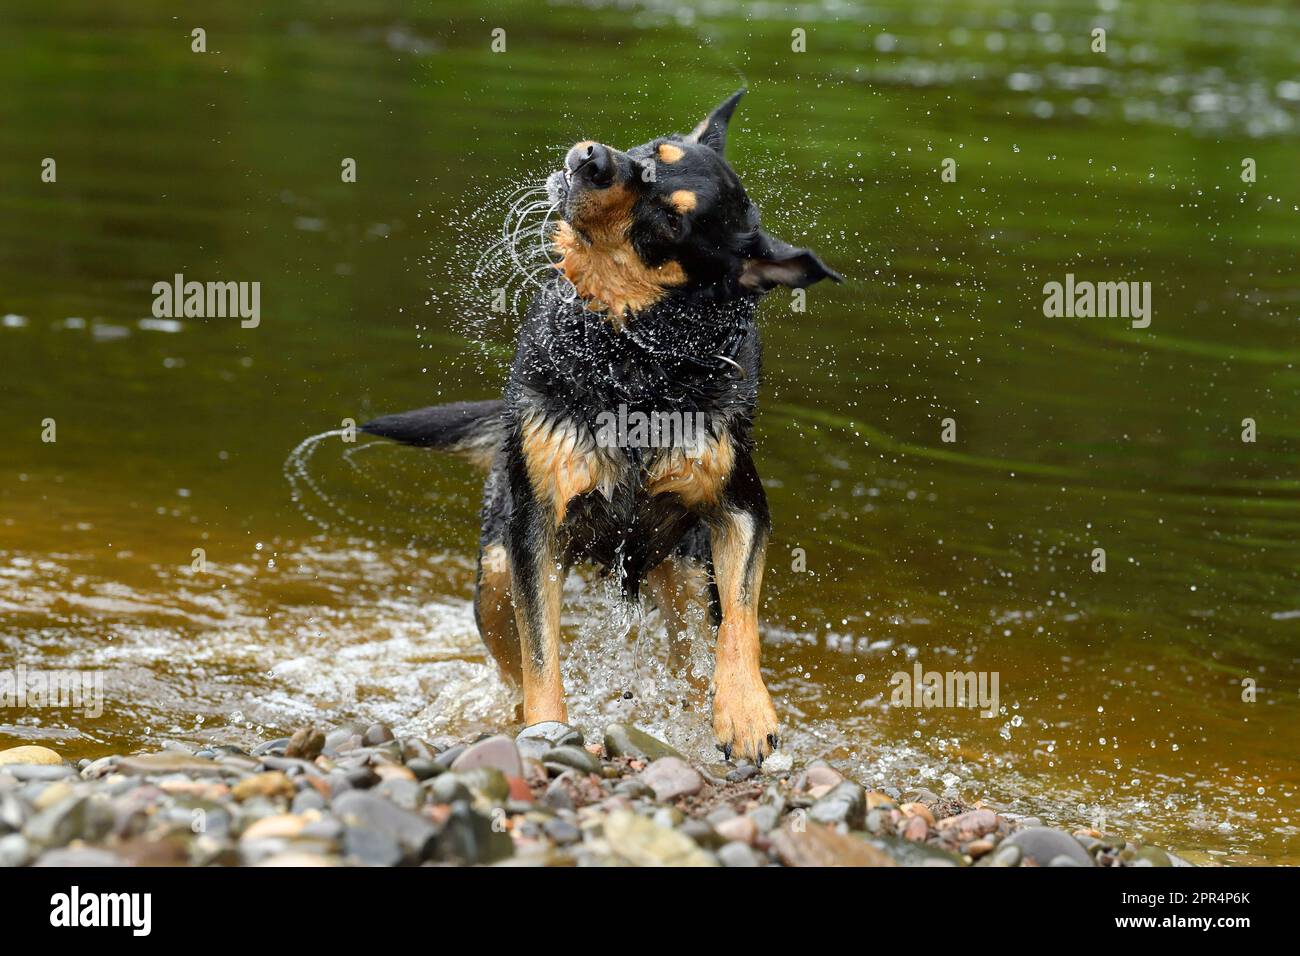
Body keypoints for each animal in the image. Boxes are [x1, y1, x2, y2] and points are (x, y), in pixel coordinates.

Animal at [364, 91, 842, 764]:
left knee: (692, 649)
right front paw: (545, 731)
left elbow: (741, 623)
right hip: (495, 573)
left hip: (685, 572)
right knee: (511, 659)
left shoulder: (741, 507)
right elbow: (542, 658)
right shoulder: (535, 528)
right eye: (649, 151)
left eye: (670, 220)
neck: (633, 359)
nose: (593, 159)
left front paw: (746, 713)